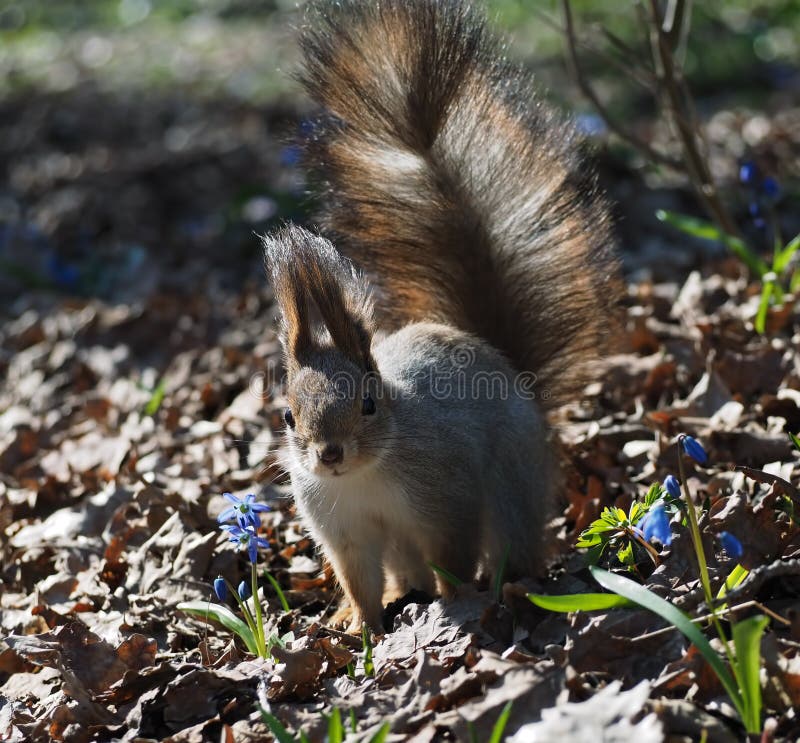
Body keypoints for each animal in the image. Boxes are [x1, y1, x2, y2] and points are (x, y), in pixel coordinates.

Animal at [263, 0, 619, 633]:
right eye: (286, 414)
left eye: (369, 403)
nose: (329, 455)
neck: (367, 476)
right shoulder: (344, 530)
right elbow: (358, 579)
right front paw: (361, 625)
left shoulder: (446, 499)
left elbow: (452, 555)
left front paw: (454, 607)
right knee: (405, 570)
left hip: (511, 486)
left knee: (506, 542)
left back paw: (508, 584)